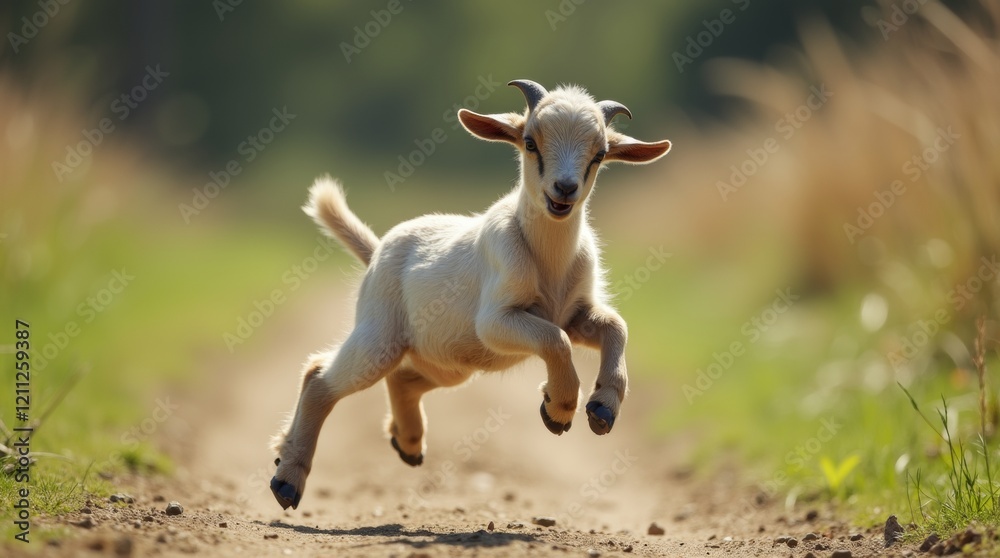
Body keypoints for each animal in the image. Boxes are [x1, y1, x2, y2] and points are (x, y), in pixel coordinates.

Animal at [269, 79, 671, 510]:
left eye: (599, 154)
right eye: (530, 142)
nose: (564, 190)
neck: (550, 261)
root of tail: (376, 252)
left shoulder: (575, 313)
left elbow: (616, 326)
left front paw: (602, 410)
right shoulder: (496, 319)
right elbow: (556, 341)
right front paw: (558, 411)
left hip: (446, 360)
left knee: (403, 378)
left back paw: (408, 443)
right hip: (380, 334)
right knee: (319, 377)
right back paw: (287, 481)